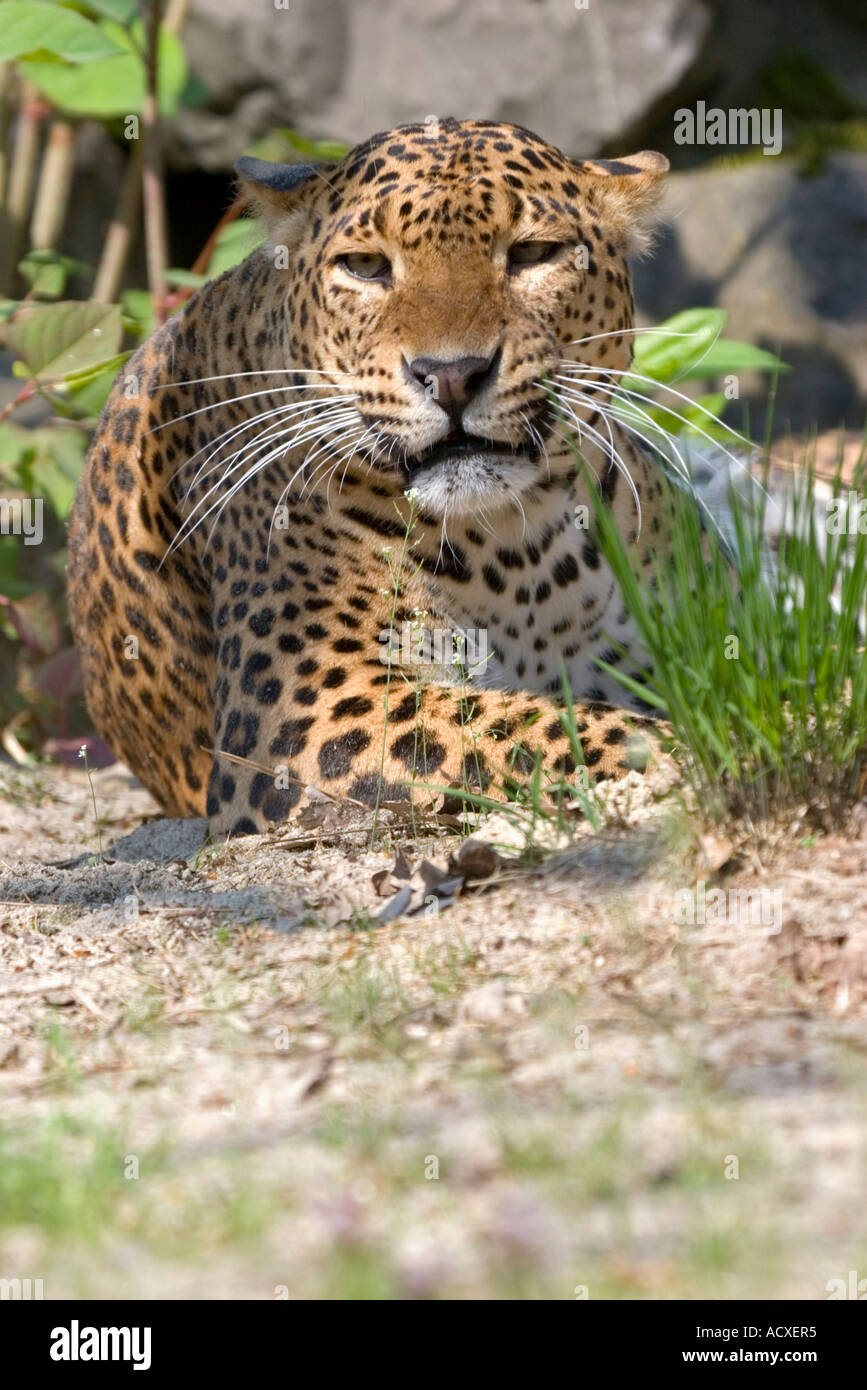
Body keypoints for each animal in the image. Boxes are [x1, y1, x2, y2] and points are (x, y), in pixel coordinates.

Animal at [67, 117, 678, 839]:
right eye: (365, 266)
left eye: (534, 254)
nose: (452, 374)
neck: (516, 543)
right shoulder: (308, 708)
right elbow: (529, 723)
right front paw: (678, 749)